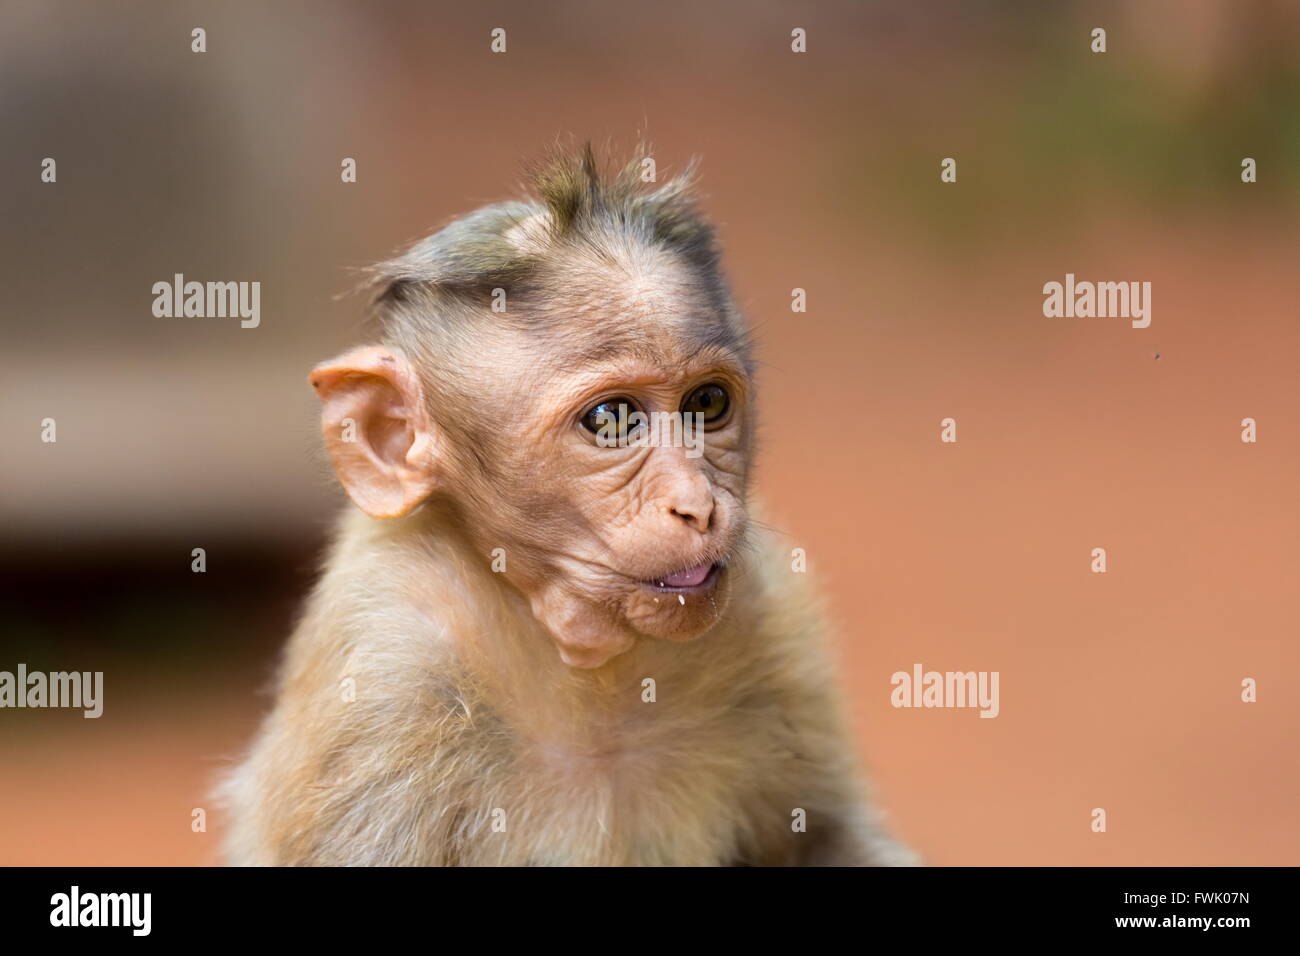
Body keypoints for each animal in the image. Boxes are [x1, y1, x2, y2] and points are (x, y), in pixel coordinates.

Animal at [219, 144, 915, 866]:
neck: (585, 663)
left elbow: (828, 837)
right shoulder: (385, 670)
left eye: (708, 403)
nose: (697, 505)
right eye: (611, 420)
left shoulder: (771, 615)